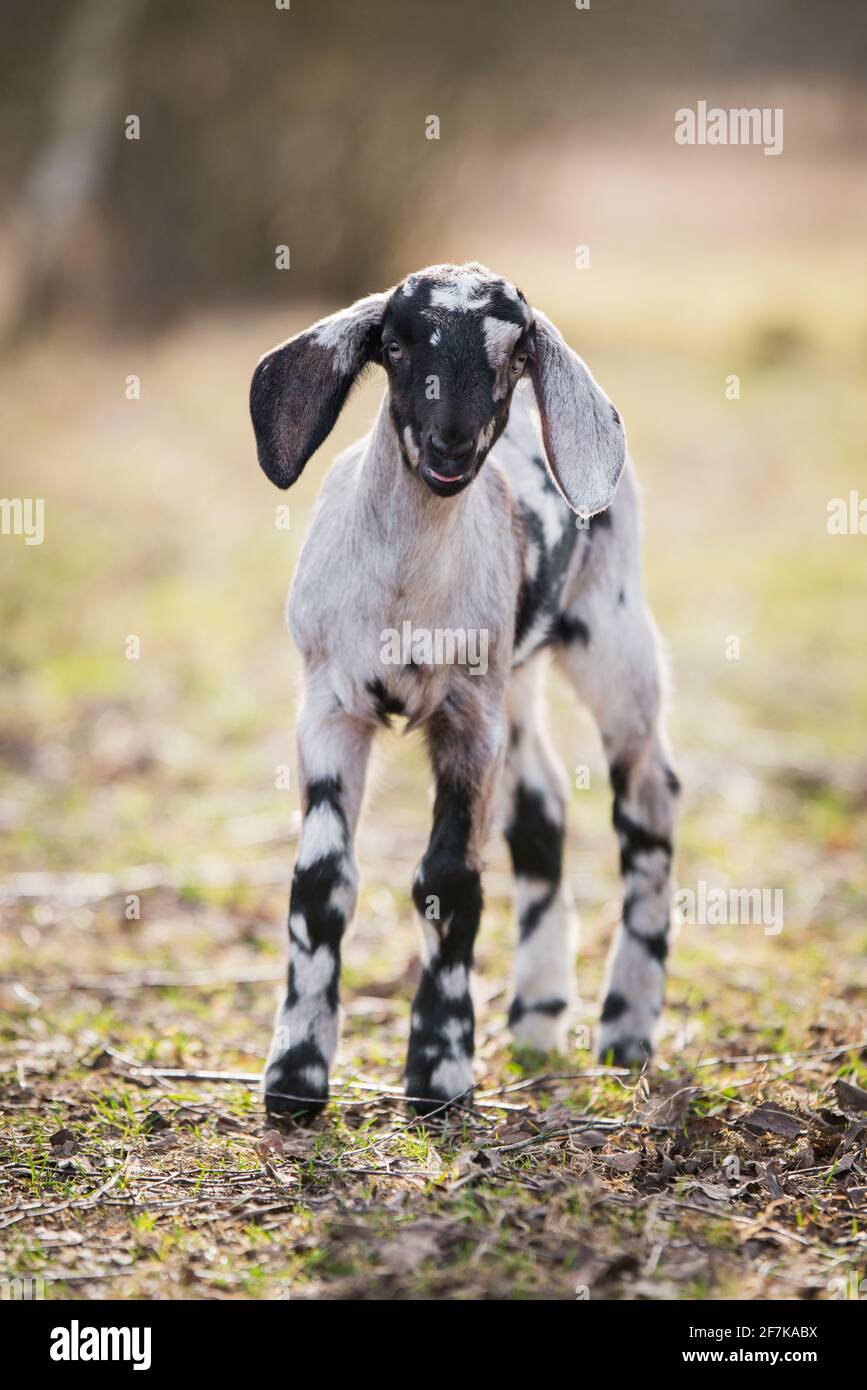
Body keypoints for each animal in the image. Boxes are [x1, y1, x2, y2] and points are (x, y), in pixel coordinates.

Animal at [250, 262, 679, 1118]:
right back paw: (539, 1011)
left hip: (610, 636)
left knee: (648, 801)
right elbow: (319, 882)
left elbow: (447, 880)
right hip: (512, 683)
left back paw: (625, 1024)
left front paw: (439, 1071)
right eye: (394, 344)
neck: (404, 587)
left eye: (515, 354)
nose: (451, 444)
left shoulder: (463, 720)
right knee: (543, 807)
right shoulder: (330, 707)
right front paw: (296, 1076)